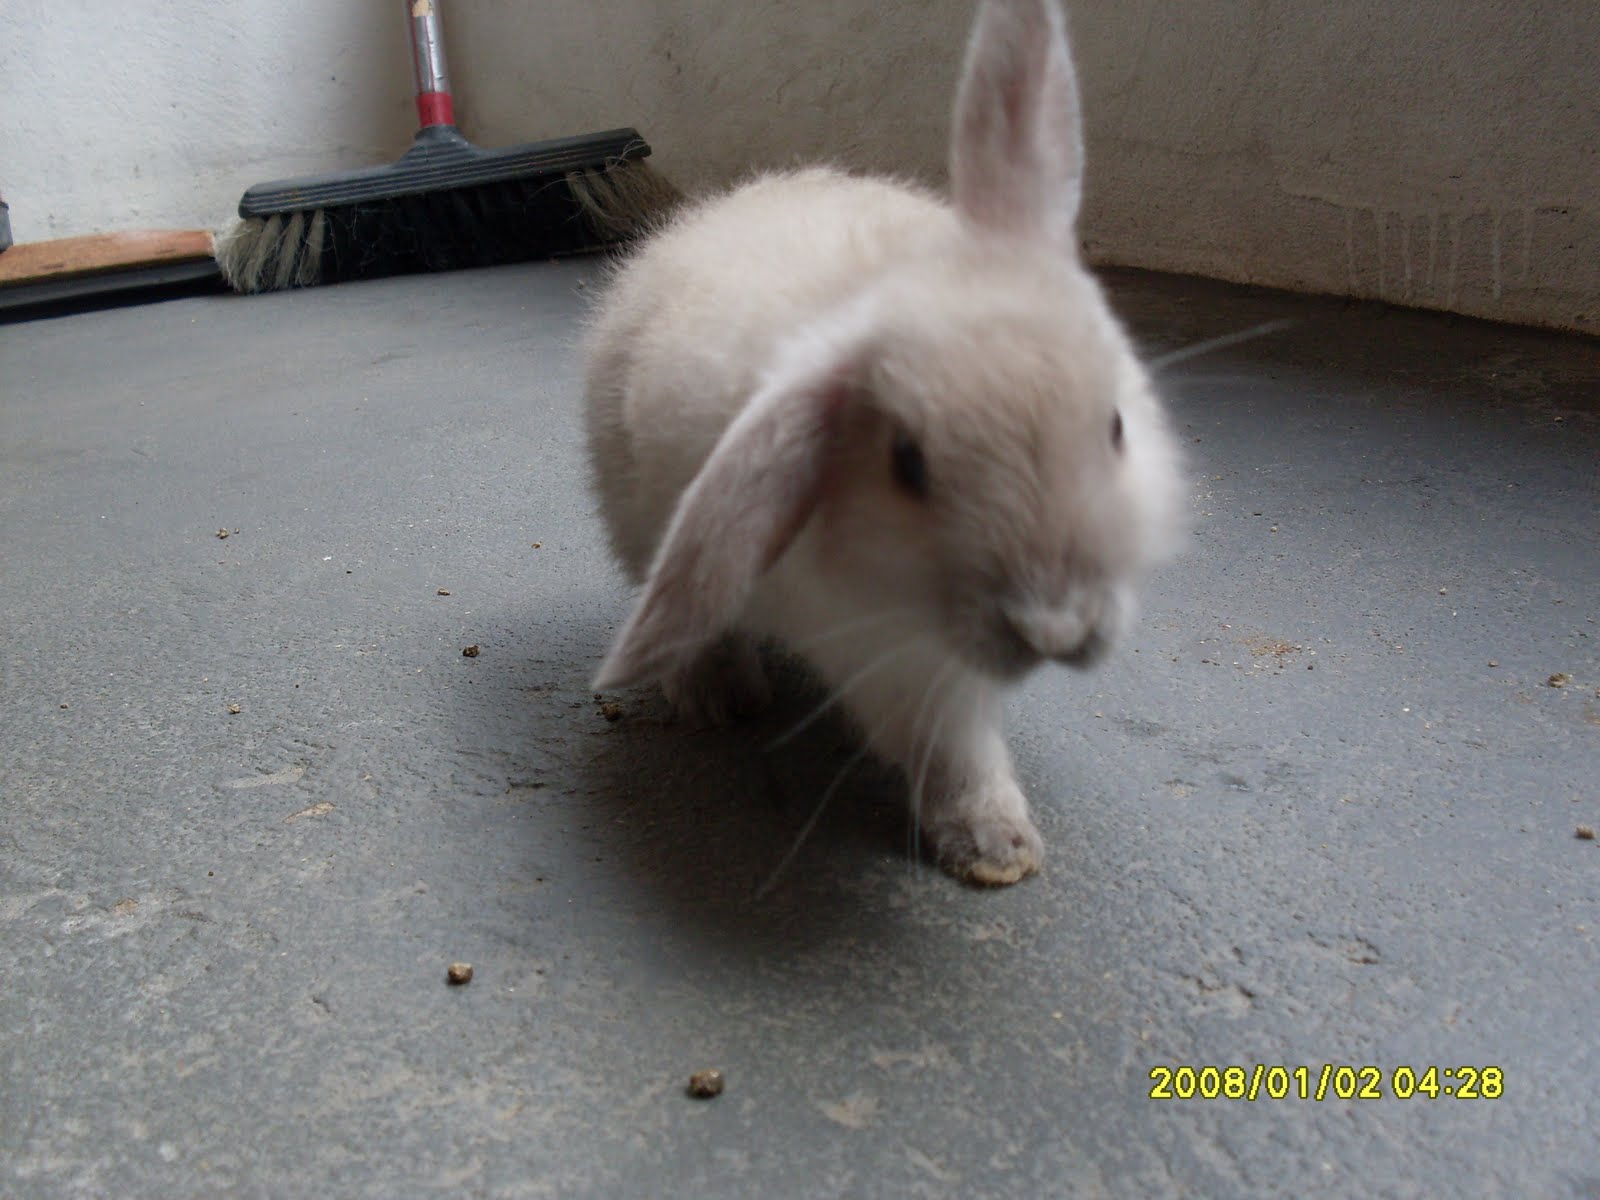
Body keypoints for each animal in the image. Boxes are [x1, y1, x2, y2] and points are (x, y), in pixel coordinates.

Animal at [582, 0, 1182, 885]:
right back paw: (719, 694)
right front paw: (995, 850)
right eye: (908, 464)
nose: (1057, 627)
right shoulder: (897, 663)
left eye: (1113, 426)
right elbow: (952, 750)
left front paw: (1002, 846)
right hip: (642, 528)